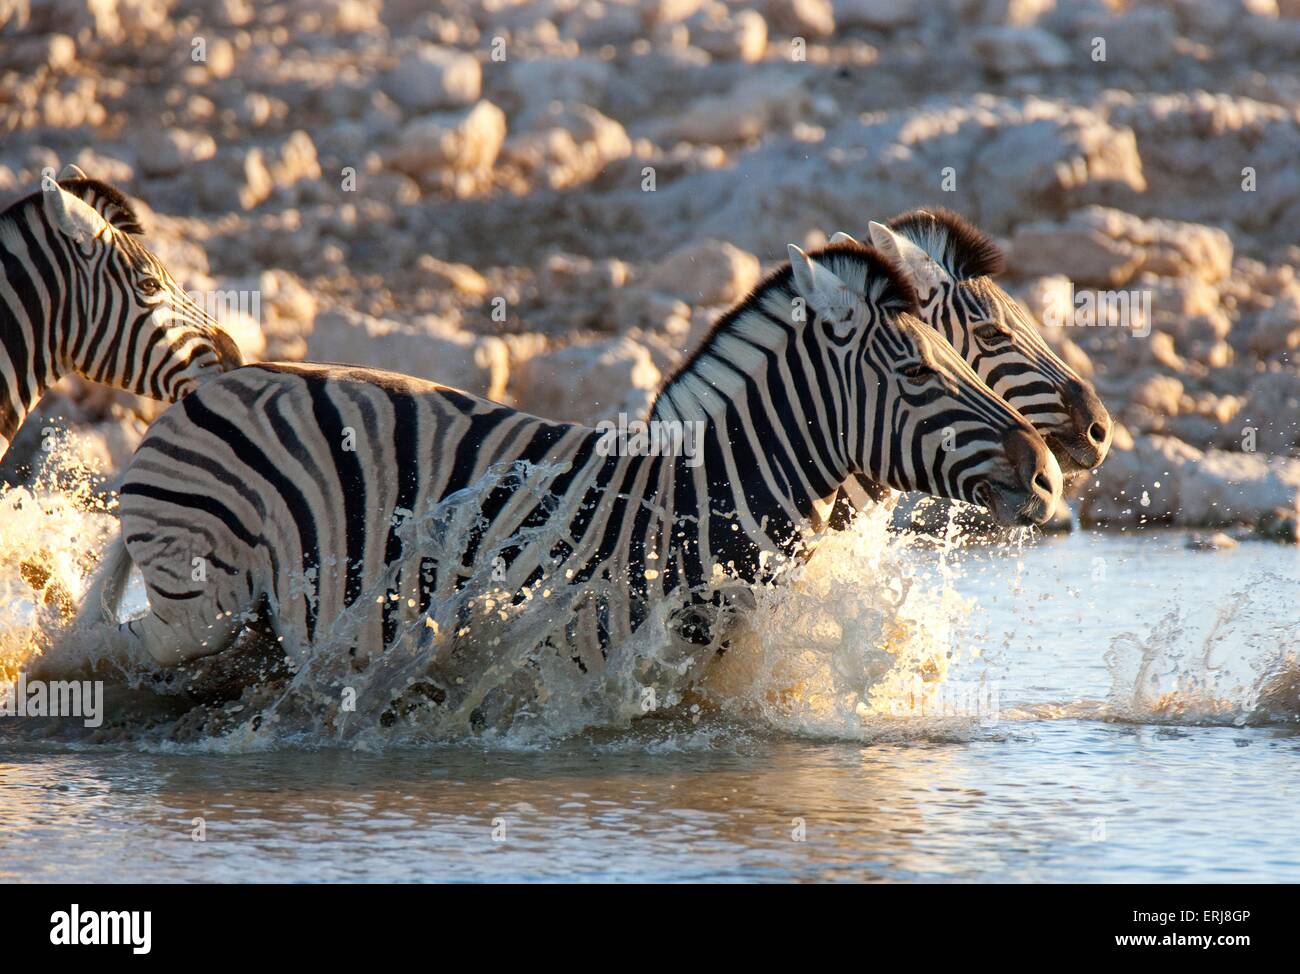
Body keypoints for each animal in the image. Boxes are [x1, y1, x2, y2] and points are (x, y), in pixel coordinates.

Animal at [31, 241, 1062, 719]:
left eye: (961, 353)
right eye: (919, 372)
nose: (1051, 472)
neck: (691, 511)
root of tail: (199, 395)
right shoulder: (570, 678)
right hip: (198, 599)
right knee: (95, 659)